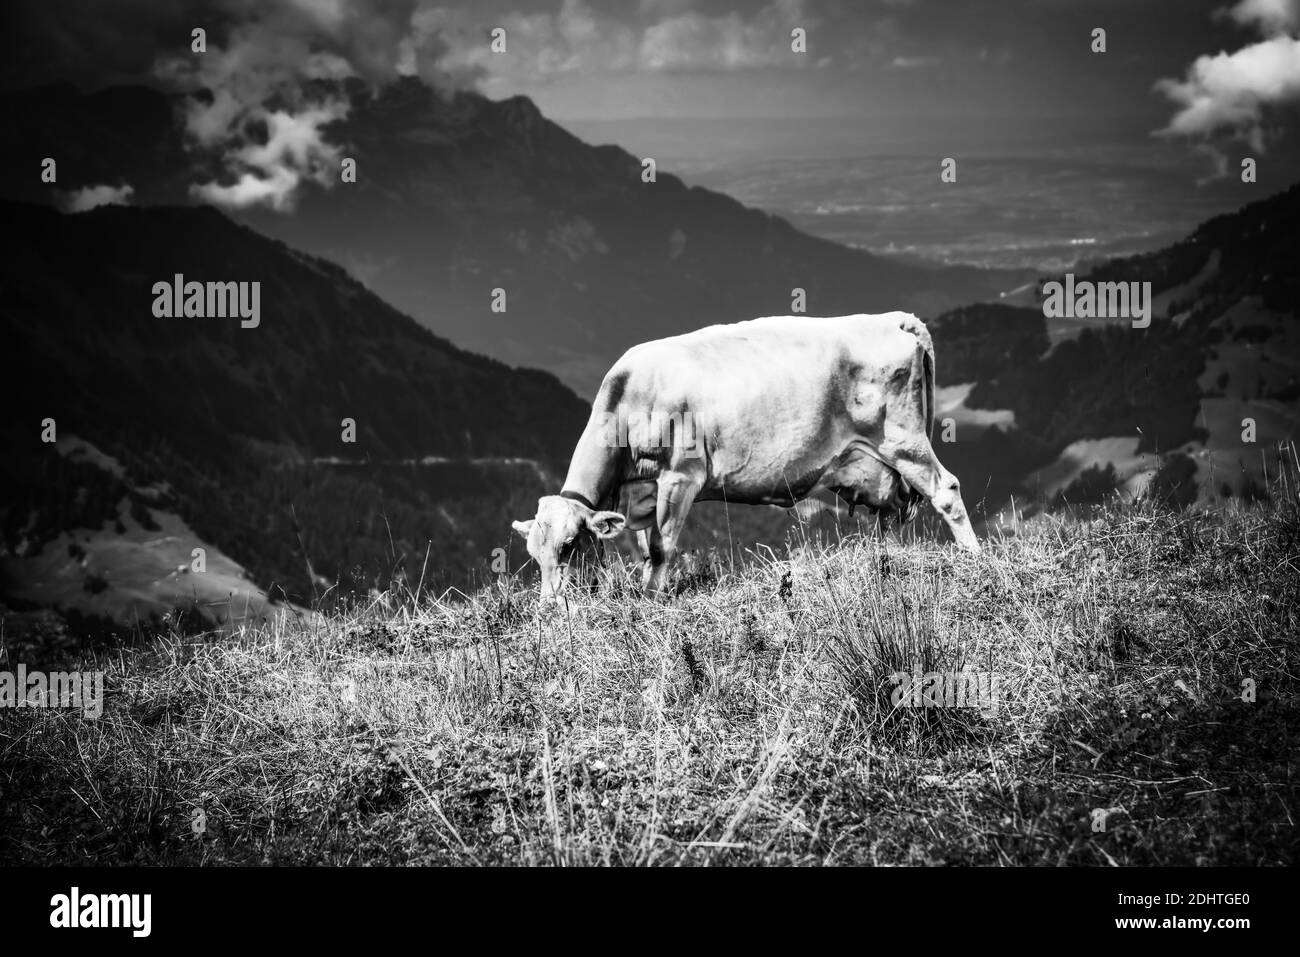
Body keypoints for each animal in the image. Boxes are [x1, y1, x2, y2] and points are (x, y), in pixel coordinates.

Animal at [512, 312, 980, 601]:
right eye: (533, 554)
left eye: (569, 545)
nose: (549, 608)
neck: (631, 397)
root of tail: (892, 319)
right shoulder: (644, 491)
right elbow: (647, 547)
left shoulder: (681, 476)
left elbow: (662, 548)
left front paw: (649, 602)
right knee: (893, 514)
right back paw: (885, 567)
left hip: (903, 440)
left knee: (947, 490)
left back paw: (976, 561)